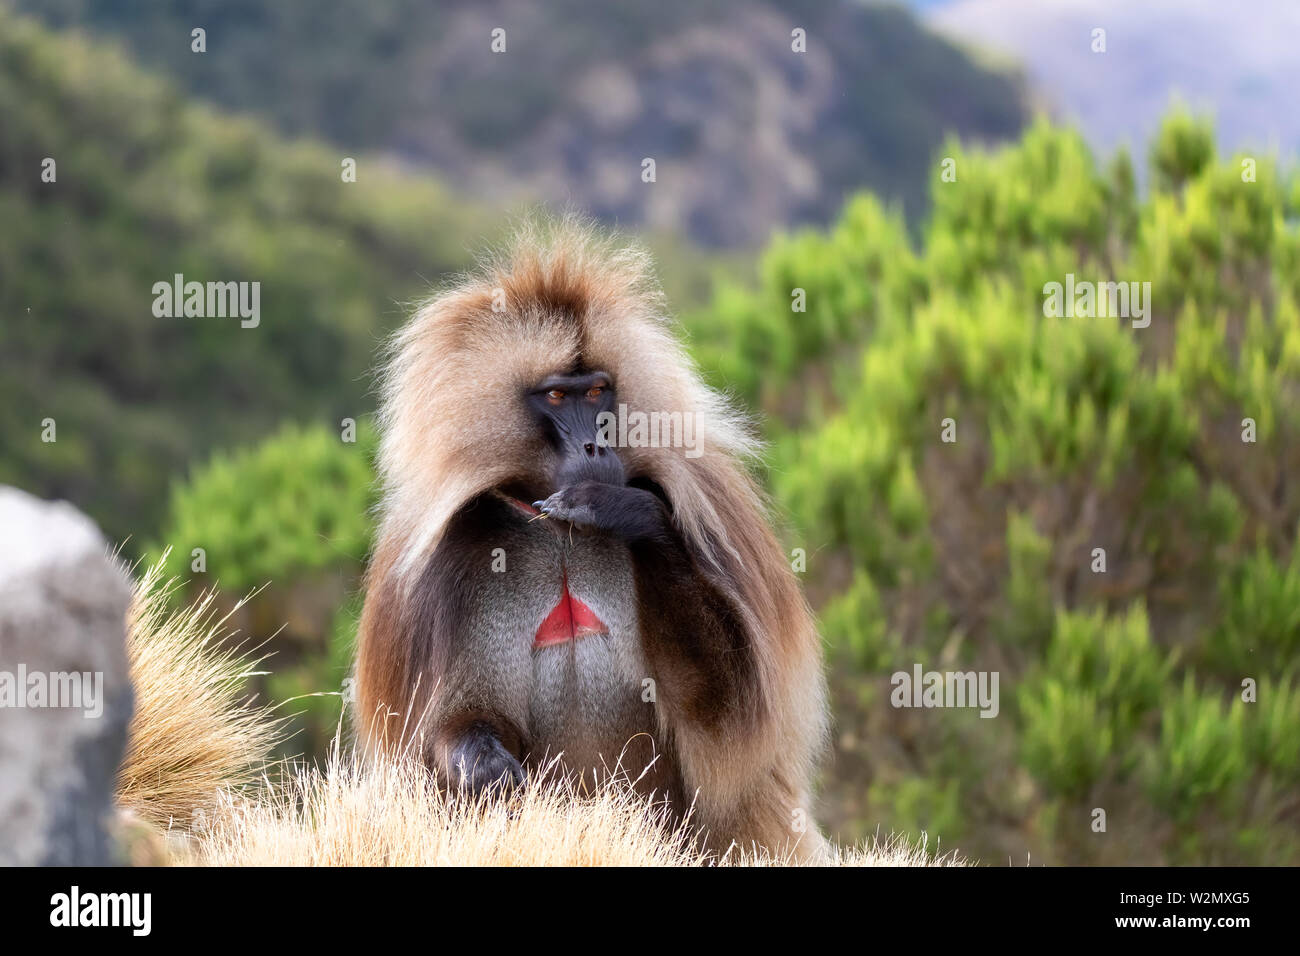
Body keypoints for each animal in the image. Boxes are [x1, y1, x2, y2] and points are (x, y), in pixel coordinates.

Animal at [354, 220, 829, 861]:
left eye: (600, 390)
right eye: (558, 395)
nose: (596, 447)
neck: (557, 531)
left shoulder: (712, 506)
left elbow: (728, 719)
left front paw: (623, 511)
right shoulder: (446, 560)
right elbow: (457, 724)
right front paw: (481, 761)